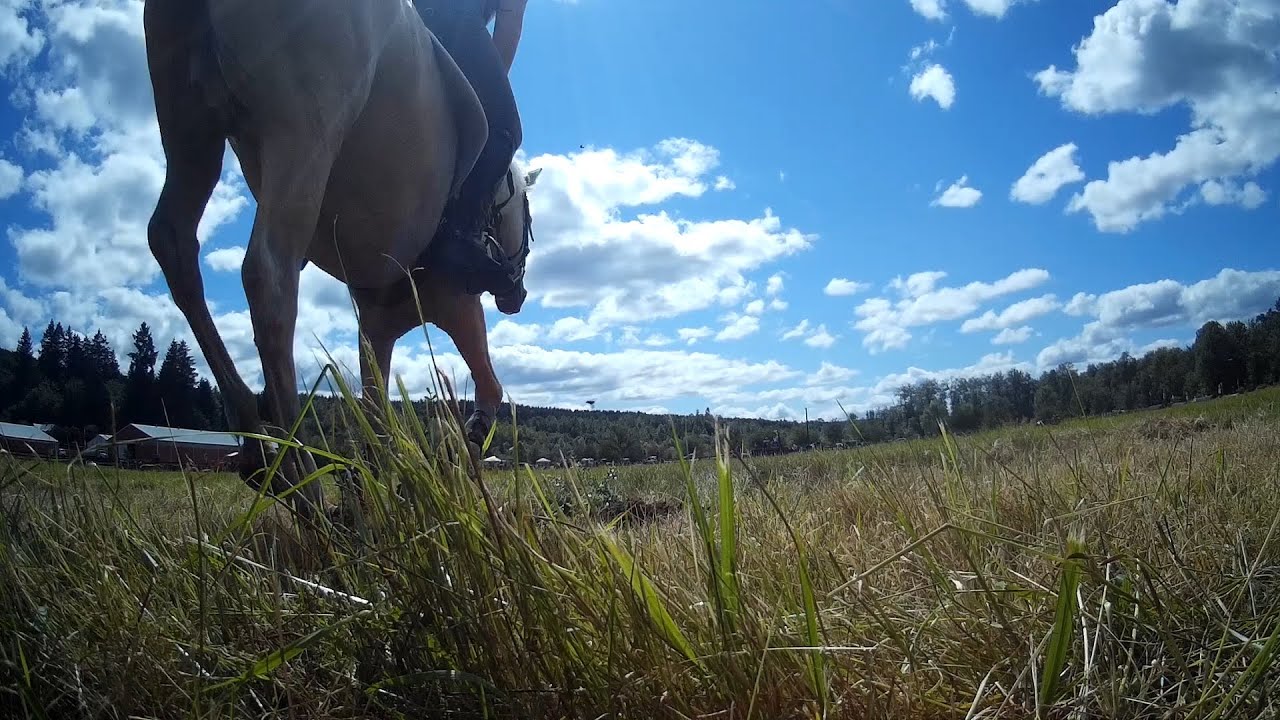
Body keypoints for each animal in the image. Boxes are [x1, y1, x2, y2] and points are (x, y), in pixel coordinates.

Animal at [142, 0, 535, 516]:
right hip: (305, 131)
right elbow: (490, 388)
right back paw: (297, 474)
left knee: (174, 244)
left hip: (188, 123)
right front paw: (460, 446)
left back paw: (257, 440)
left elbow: (376, 412)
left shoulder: (377, 329)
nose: (516, 294)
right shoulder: (457, 303)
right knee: (268, 274)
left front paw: (382, 487)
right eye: (528, 214)